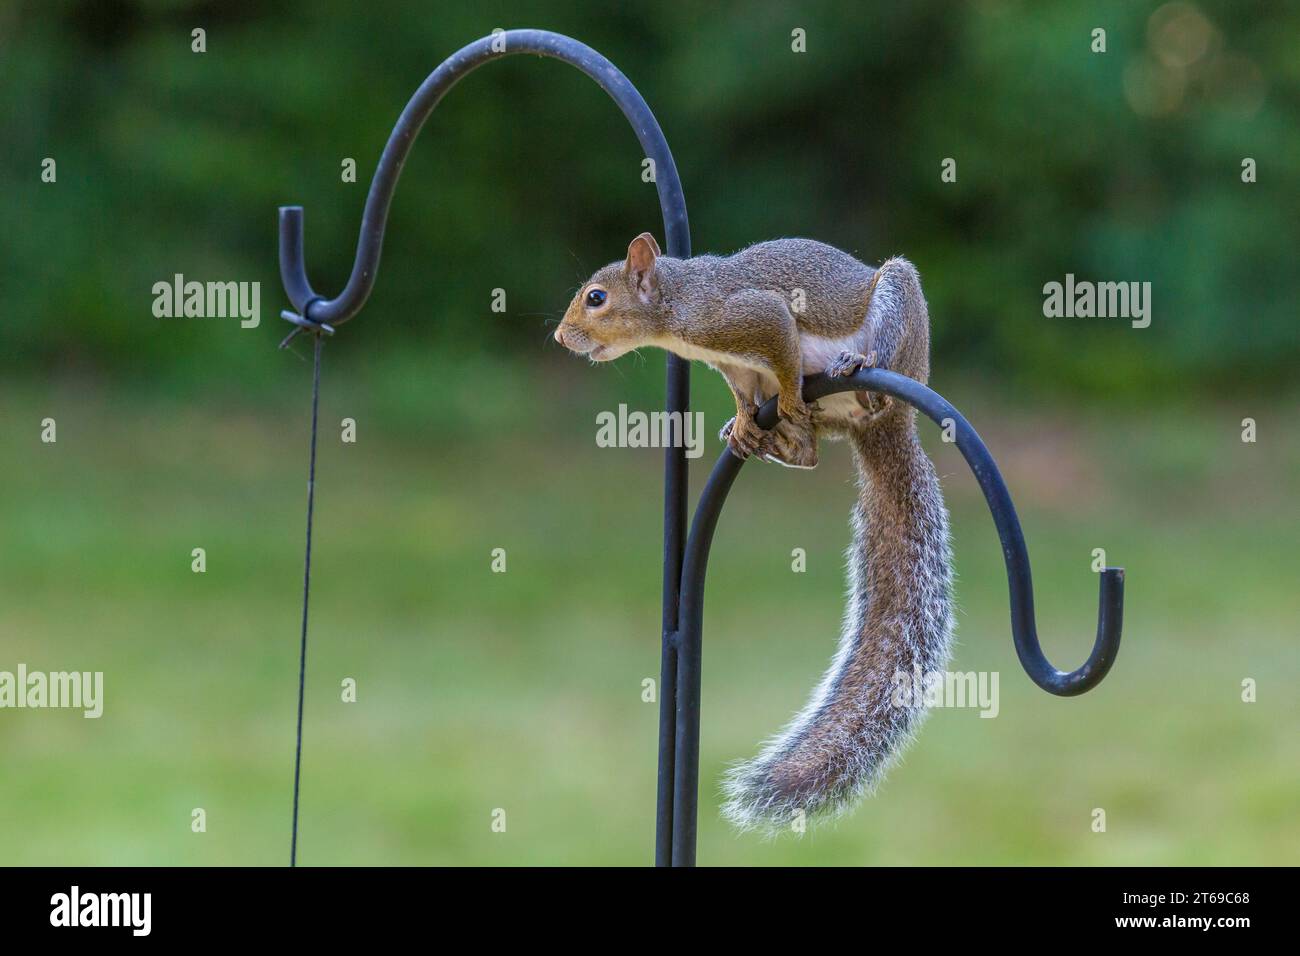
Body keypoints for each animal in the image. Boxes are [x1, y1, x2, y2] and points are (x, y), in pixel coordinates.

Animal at [555, 234, 954, 831]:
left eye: (596, 298)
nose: (560, 336)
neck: (679, 304)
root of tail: (884, 427)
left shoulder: (750, 316)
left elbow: (784, 354)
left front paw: (786, 395)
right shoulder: (736, 367)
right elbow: (748, 393)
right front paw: (744, 419)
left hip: (897, 309)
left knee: (880, 369)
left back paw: (858, 366)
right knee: (810, 454)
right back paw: (774, 439)